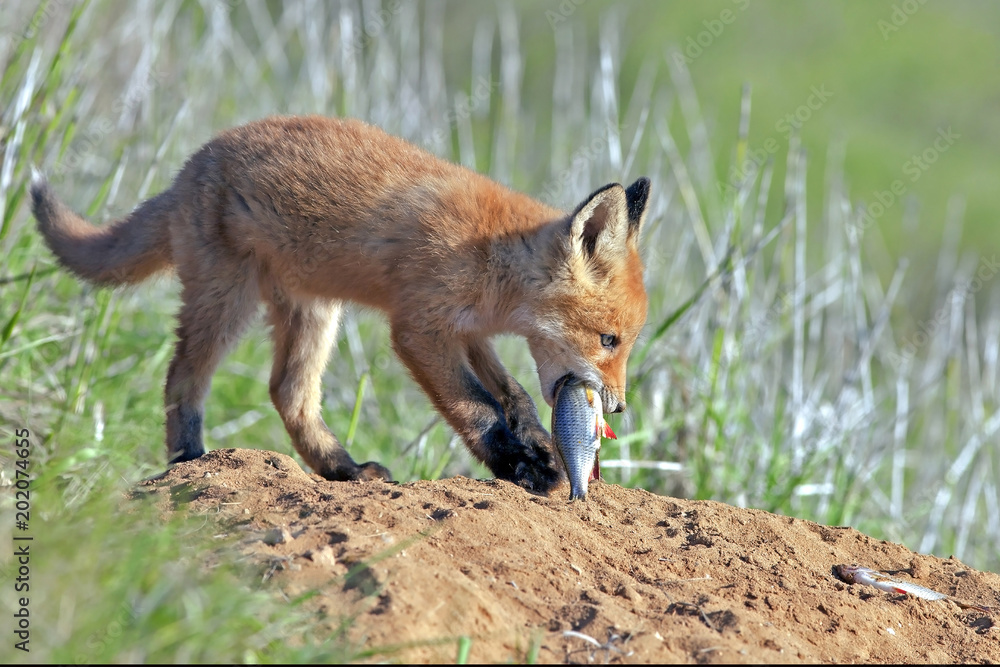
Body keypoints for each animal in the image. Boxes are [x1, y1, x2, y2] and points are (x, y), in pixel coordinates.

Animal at [31, 115, 649, 494]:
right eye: (609, 340)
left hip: (313, 313)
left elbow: (511, 392)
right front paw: (516, 463)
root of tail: (190, 166)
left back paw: (343, 470)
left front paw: (538, 445)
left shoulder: (466, 331)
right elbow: (475, 406)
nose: (618, 408)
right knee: (183, 379)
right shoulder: (418, 329)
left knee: (287, 392)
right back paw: (187, 458)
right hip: (226, 302)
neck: (491, 261)